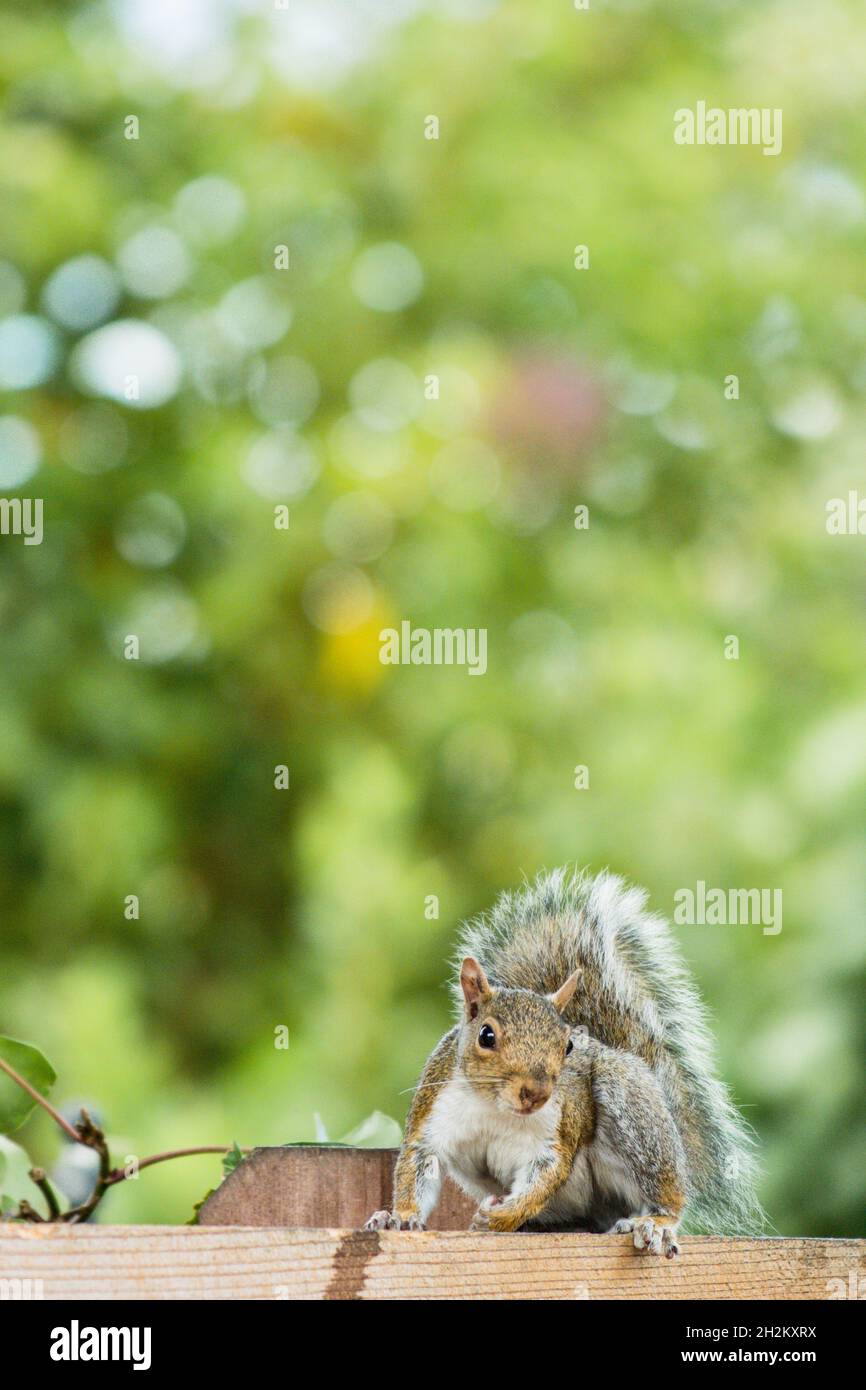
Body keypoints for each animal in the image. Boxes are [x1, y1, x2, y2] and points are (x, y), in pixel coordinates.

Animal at [366, 868, 762, 1255]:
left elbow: (543, 1179)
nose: (536, 1093)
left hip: (631, 1105)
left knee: (665, 1192)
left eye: (567, 1045)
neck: (496, 1108)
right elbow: (417, 1166)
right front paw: (399, 1217)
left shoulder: (553, 1140)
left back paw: (656, 1222)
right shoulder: (433, 1115)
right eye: (486, 1036)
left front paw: (499, 1218)